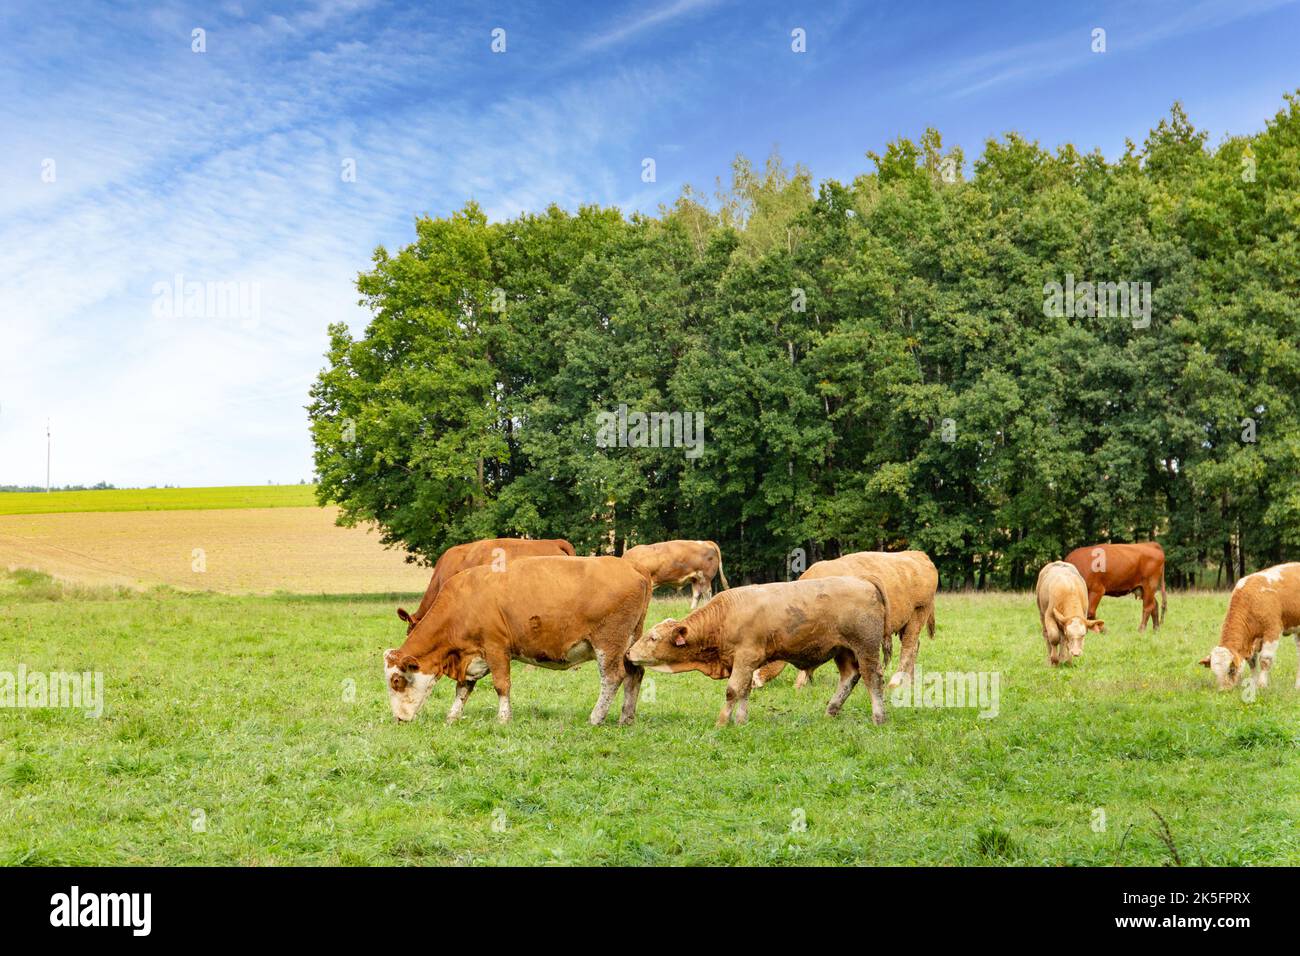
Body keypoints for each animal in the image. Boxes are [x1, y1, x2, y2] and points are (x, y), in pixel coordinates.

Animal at [384, 555, 650, 726]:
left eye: (396, 680)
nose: (398, 719)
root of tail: (634, 567)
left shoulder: (495, 648)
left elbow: (501, 685)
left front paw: (503, 719)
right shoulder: (470, 656)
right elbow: (463, 689)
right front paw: (452, 717)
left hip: (609, 643)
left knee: (612, 678)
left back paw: (596, 717)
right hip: (629, 643)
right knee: (634, 674)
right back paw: (626, 718)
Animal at [626, 576, 890, 726]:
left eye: (653, 637)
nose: (628, 653)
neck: (725, 616)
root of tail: (865, 582)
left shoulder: (745, 658)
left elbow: (733, 691)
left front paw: (722, 722)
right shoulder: (744, 663)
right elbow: (744, 690)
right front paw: (741, 721)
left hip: (865, 647)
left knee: (873, 678)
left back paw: (879, 717)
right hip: (843, 651)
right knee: (849, 677)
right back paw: (831, 711)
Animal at [751, 549, 938, 691]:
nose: (752, 683)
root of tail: (918, 554)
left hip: (919, 612)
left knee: (908, 647)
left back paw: (895, 682)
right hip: (907, 621)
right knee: (915, 646)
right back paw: (909, 681)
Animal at [1199, 562, 1300, 691]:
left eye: (1231, 670)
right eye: (1215, 673)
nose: (1224, 690)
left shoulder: (1272, 631)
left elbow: (1265, 660)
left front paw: (1262, 685)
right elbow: (1252, 662)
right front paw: (1253, 684)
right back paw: (1297, 686)